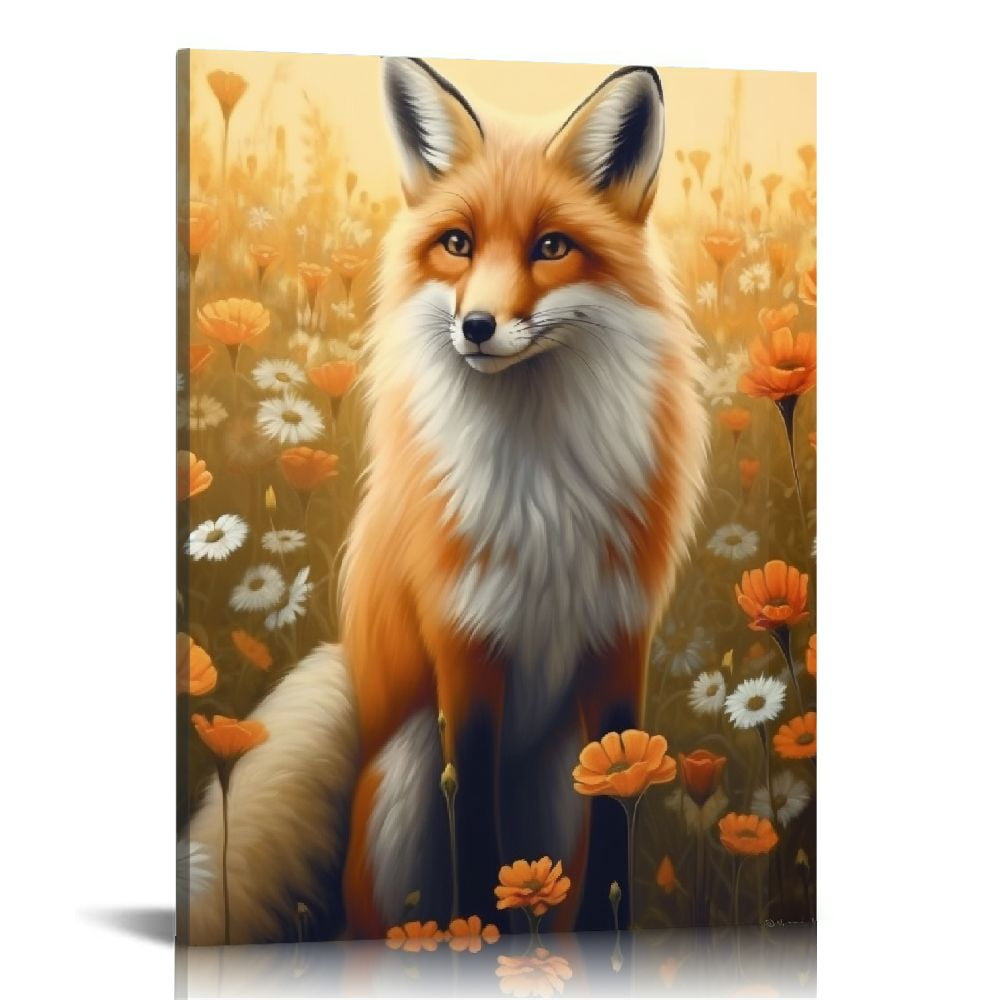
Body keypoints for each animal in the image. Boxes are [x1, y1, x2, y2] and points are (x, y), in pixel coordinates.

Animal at [181, 57, 708, 946]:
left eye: (552, 247)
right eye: (457, 244)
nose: (478, 326)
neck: (541, 486)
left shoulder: (619, 644)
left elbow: (613, 848)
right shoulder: (464, 645)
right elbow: (477, 846)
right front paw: (477, 939)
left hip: (556, 779)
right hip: (406, 768)